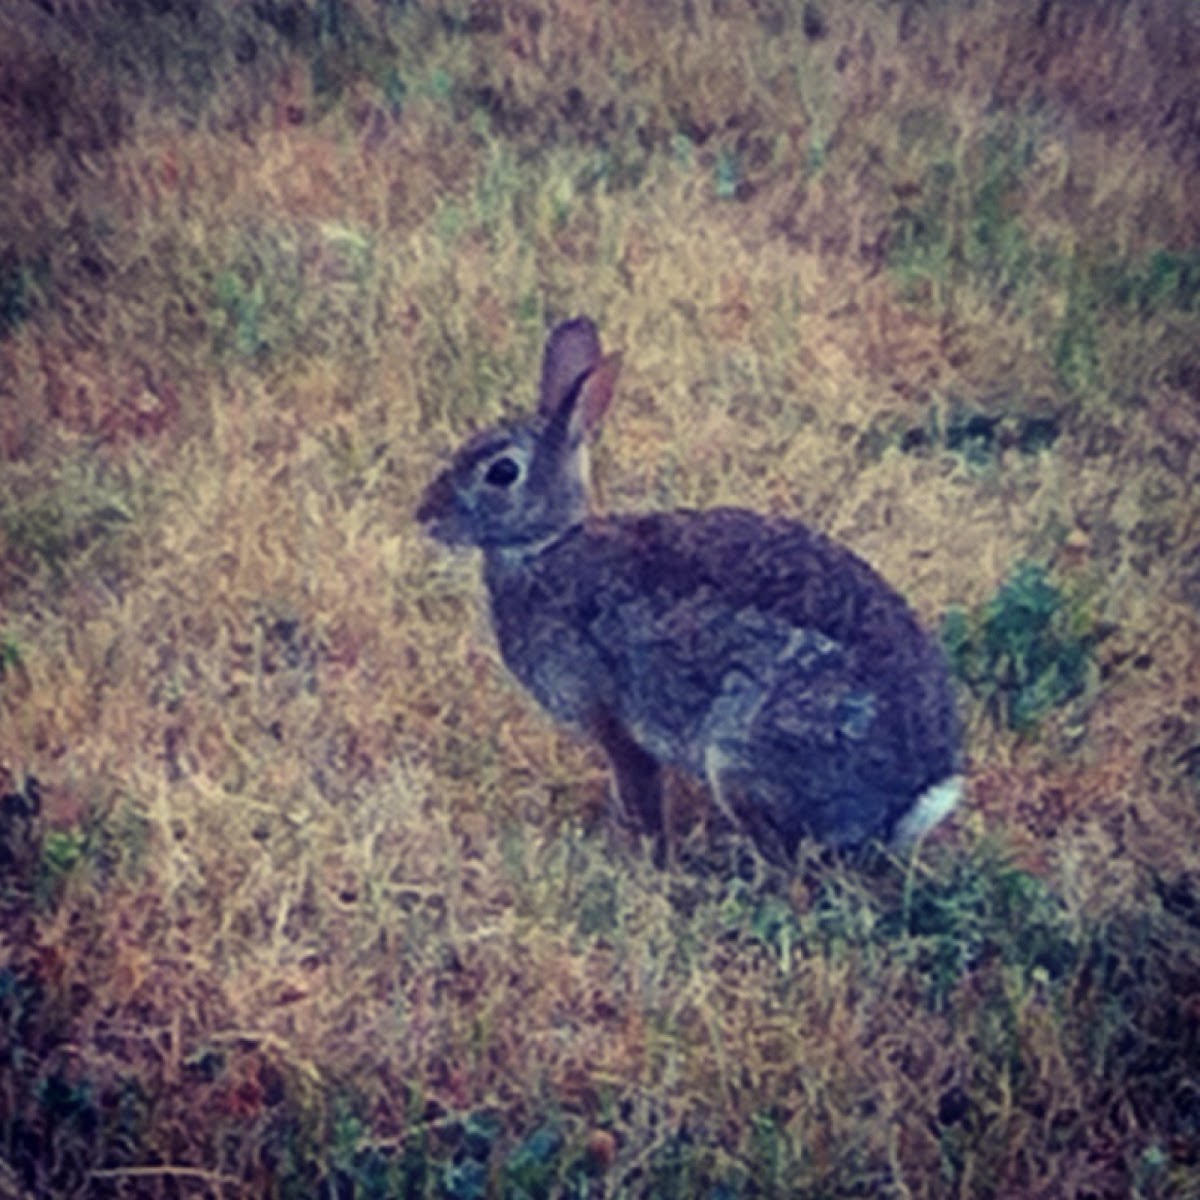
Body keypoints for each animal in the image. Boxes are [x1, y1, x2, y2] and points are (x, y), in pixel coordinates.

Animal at [416, 316, 962, 862]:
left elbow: (637, 787)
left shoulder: (611, 717)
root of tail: (912, 798)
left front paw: (640, 852)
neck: (547, 547)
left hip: (742, 754)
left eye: (502, 472)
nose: (424, 517)